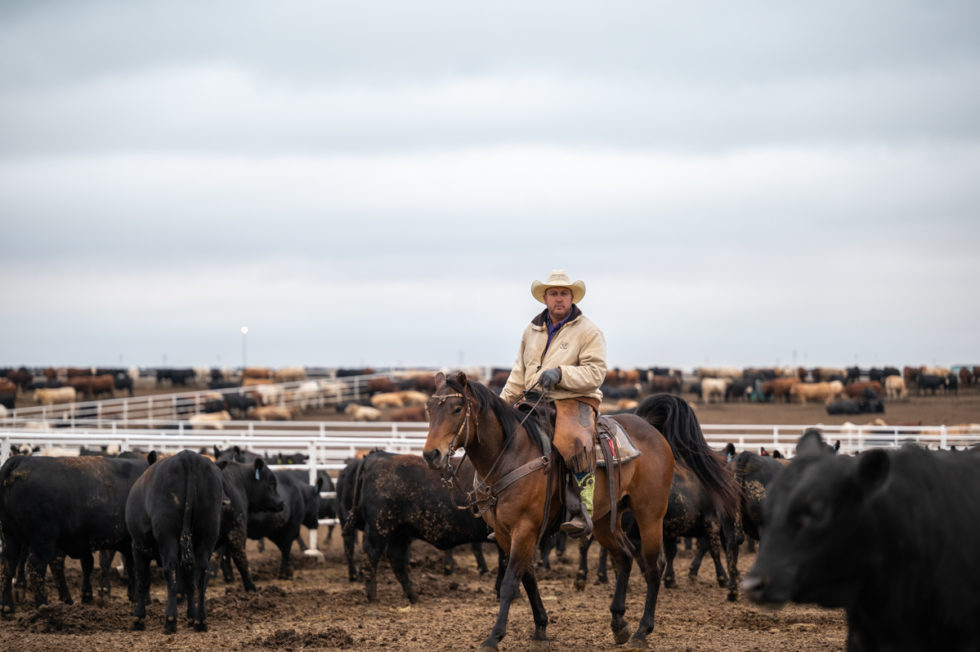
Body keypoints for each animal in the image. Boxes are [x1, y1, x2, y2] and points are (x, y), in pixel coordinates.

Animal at [0, 454, 152, 614]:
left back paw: (8, 607)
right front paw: (144, 601)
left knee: (8, 564)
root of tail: (20, 460)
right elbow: (140, 572)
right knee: (37, 566)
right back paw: (43, 605)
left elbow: (132, 570)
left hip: (10, 535)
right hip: (42, 538)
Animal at [125, 450, 224, 633]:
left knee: (170, 570)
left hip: (167, 534)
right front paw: (191, 616)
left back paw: (170, 619)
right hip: (208, 533)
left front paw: (139, 617)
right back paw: (200, 620)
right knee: (201, 572)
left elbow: (143, 579)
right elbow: (188, 583)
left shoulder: (138, 545)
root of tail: (188, 456)